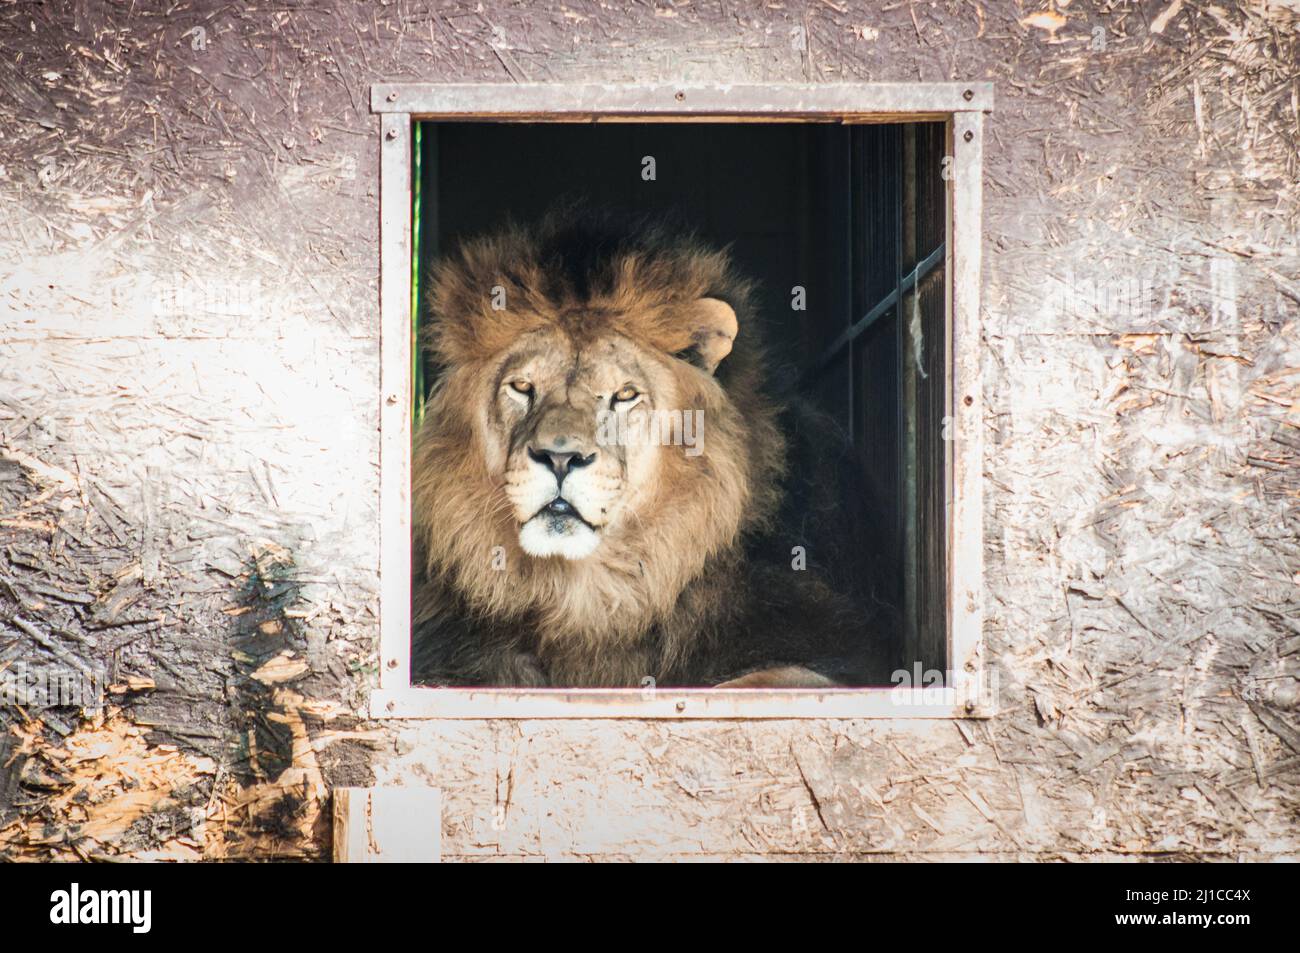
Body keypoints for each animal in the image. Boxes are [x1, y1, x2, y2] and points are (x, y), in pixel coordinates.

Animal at [411, 210, 897, 688]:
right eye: (523, 387)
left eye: (624, 395)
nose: (560, 458)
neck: (587, 593)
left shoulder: (836, 650)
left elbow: (757, 682)